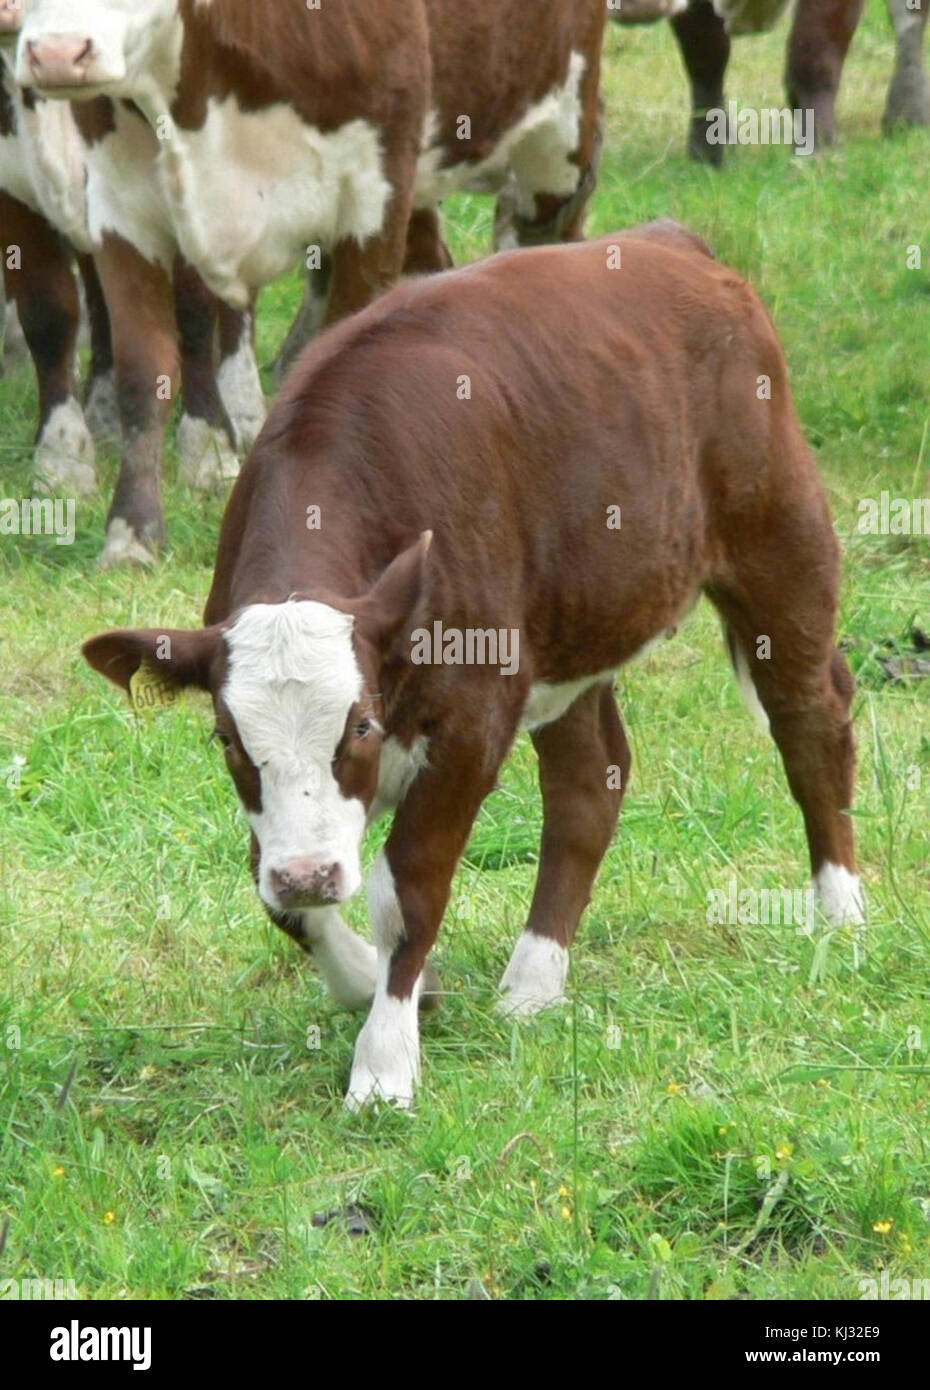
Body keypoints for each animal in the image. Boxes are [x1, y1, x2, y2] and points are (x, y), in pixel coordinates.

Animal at [18, 0, 606, 563]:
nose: (56, 54)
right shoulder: (120, 207)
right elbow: (144, 374)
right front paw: (132, 534)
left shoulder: (375, 192)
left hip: (558, 142)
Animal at [82, 222, 864, 1110]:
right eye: (225, 738)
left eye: (361, 724)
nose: (311, 875)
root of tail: (669, 240)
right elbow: (273, 892)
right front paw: (375, 982)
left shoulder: (470, 723)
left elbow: (407, 891)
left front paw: (384, 1062)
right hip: (574, 629)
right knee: (589, 783)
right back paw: (534, 979)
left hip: (780, 545)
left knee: (812, 719)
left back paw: (840, 911)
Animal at [612, 0, 929, 164]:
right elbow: (705, 54)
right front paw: (707, 149)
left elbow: (814, 51)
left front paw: (818, 150)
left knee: (909, 17)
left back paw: (907, 113)